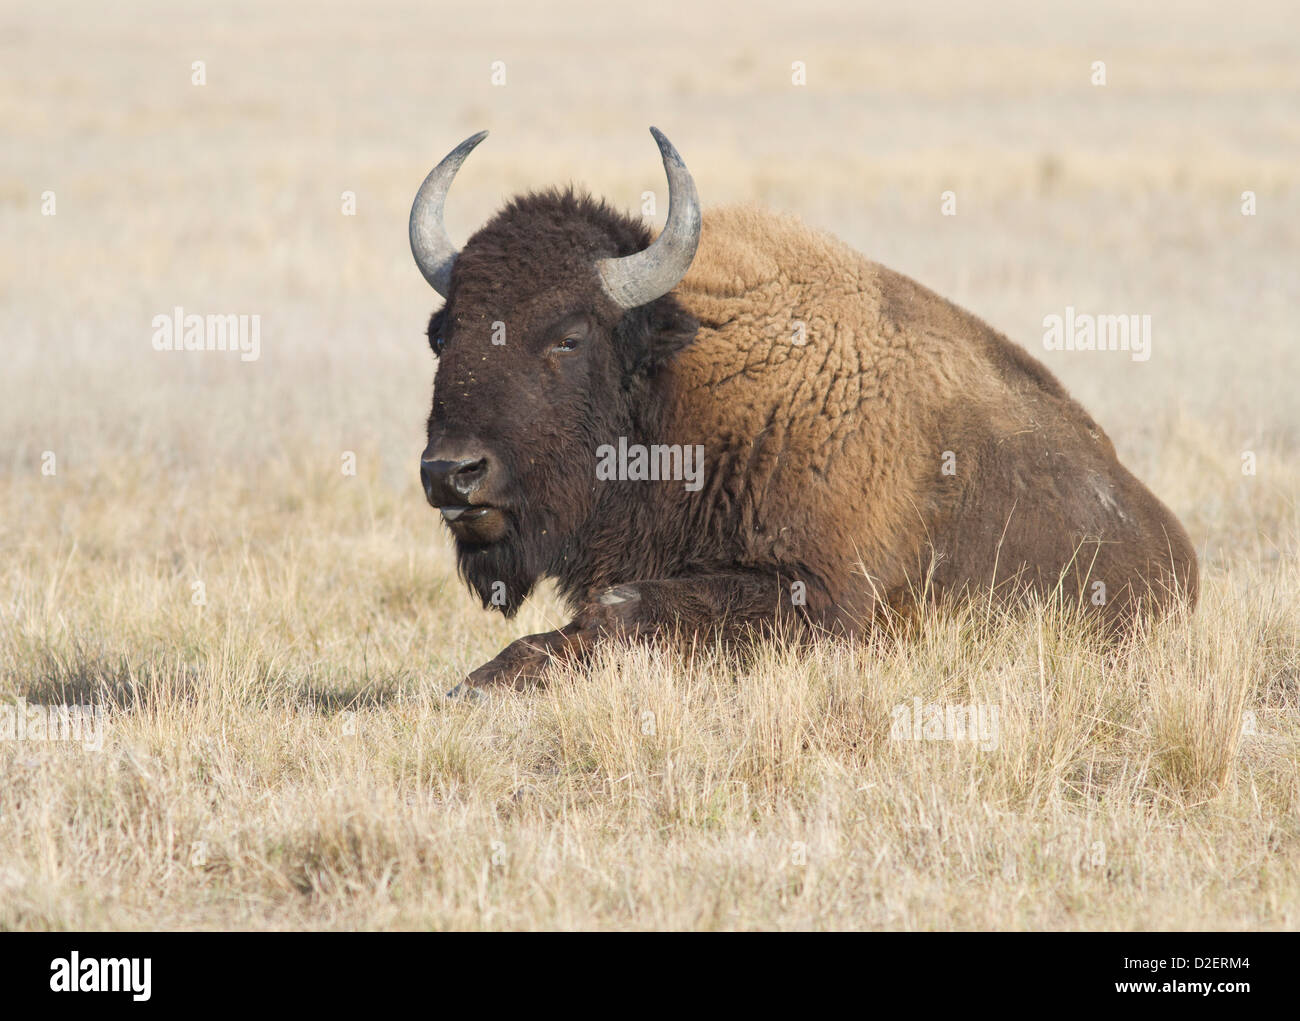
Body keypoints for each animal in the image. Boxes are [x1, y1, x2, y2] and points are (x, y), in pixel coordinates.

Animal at [411, 128, 1197, 692]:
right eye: (442, 333)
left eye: (569, 337)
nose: (452, 472)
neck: (676, 383)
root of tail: (1176, 552)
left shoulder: (823, 598)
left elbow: (621, 608)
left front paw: (479, 684)